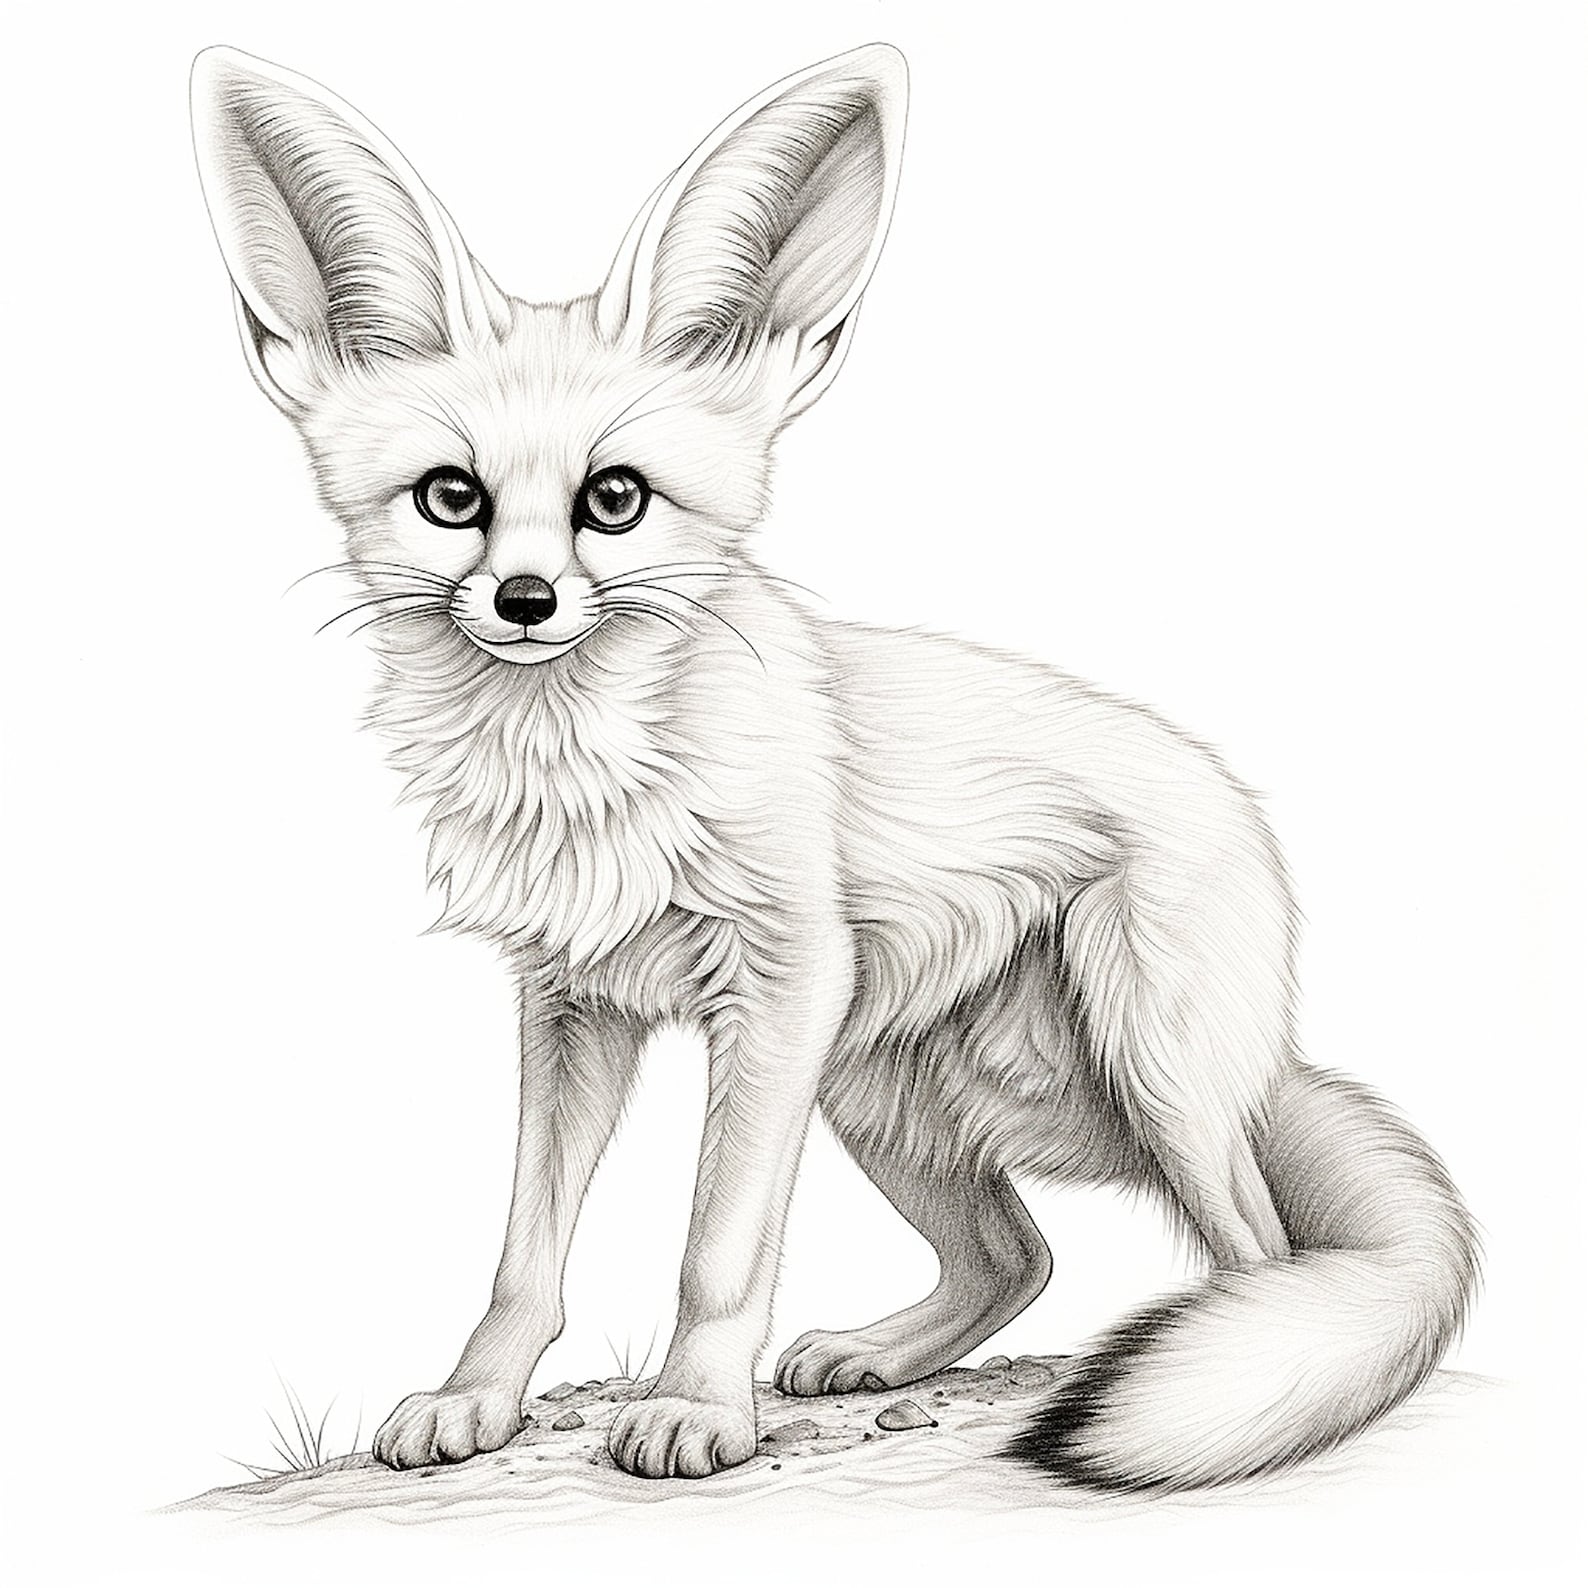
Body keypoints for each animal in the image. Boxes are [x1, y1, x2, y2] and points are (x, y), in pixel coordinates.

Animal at [190, 42, 1478, 1492]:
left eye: (614, 499)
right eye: (450, 499)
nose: (525, 601)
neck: (585, 775)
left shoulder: (780, 985)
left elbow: (718, 1247)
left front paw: (695, 1410)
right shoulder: (571, 1004)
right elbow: (526, 1252)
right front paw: (478, 1398)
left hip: (1143, 1074)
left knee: (1256, 1257)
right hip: (878, 1085)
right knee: (1019, 1253)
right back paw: (882, 1356)